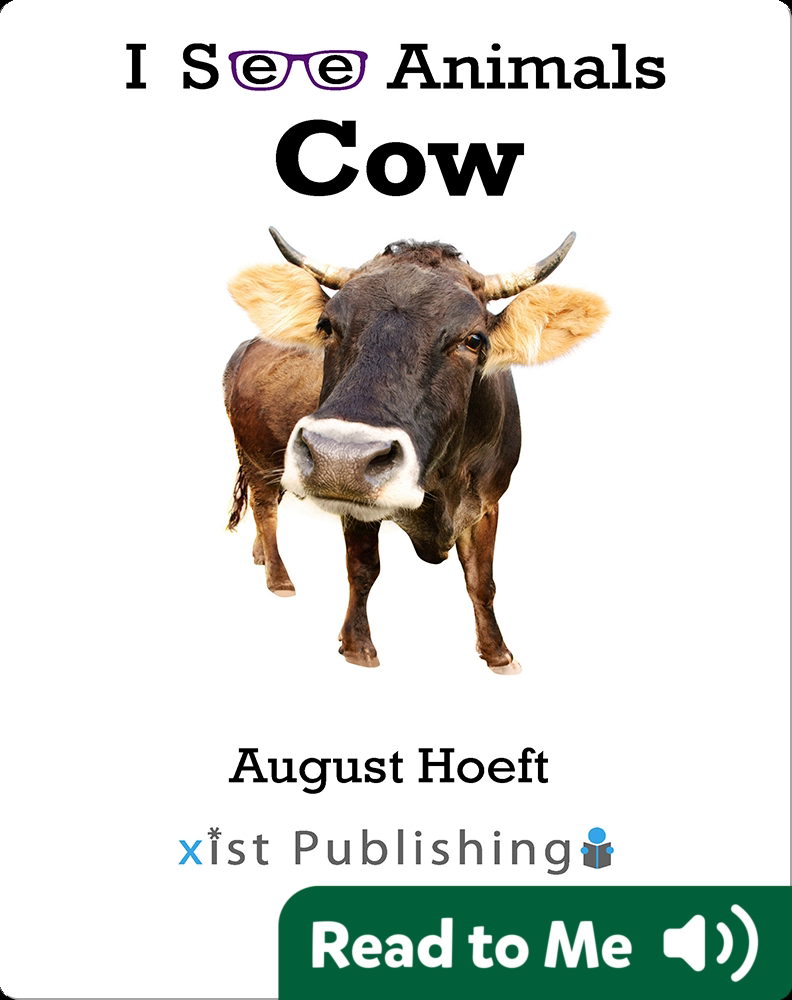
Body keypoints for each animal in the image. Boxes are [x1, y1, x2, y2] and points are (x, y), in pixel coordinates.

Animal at [224, 228, 607, 674]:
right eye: (327, 325)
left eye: (474, 339)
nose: (341, 456)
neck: (441, 483)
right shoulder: (356, 503)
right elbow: (363, 570)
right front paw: (357, 646)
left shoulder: (489, 501)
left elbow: (482, 581)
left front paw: (497, 652)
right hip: (254, 455)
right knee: (265, 508)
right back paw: (279, 578)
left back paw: (260, 557)